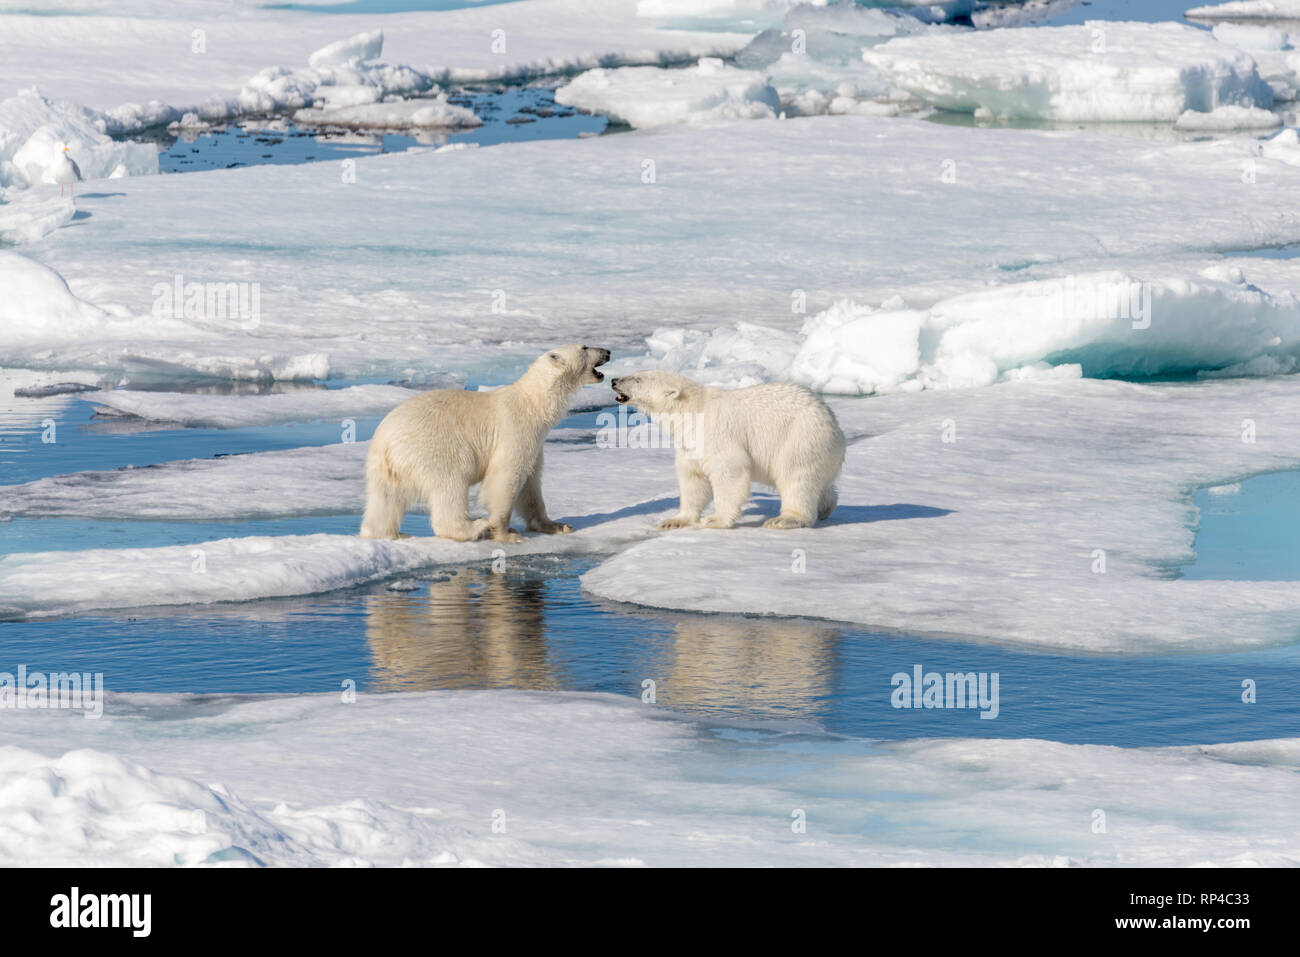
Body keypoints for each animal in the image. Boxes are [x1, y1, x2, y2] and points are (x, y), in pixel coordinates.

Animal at [360, 344, 610, 543]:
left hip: (384, 467)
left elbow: (531, 483)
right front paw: (505, 533)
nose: (607, 351)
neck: (534, 403)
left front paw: (557, 526)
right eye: (585, 346)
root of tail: (387, 441)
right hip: (433, 446)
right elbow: (505, 476)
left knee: (384, 500)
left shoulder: (536, 443)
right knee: (450, 484)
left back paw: (388, 533)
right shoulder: (516, 428)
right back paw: (473, 527)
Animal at [609, 370, 845, 530]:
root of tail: (835, 426)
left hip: (800, 437)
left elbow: (729, 472)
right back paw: (826, 507)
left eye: (638, 379)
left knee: (795, 476)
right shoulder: (690, 443)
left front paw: (715, 519)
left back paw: (785, 519)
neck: (692, 410)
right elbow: (693, 478)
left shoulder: (715, 433)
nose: (614, 380)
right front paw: (675, 520)